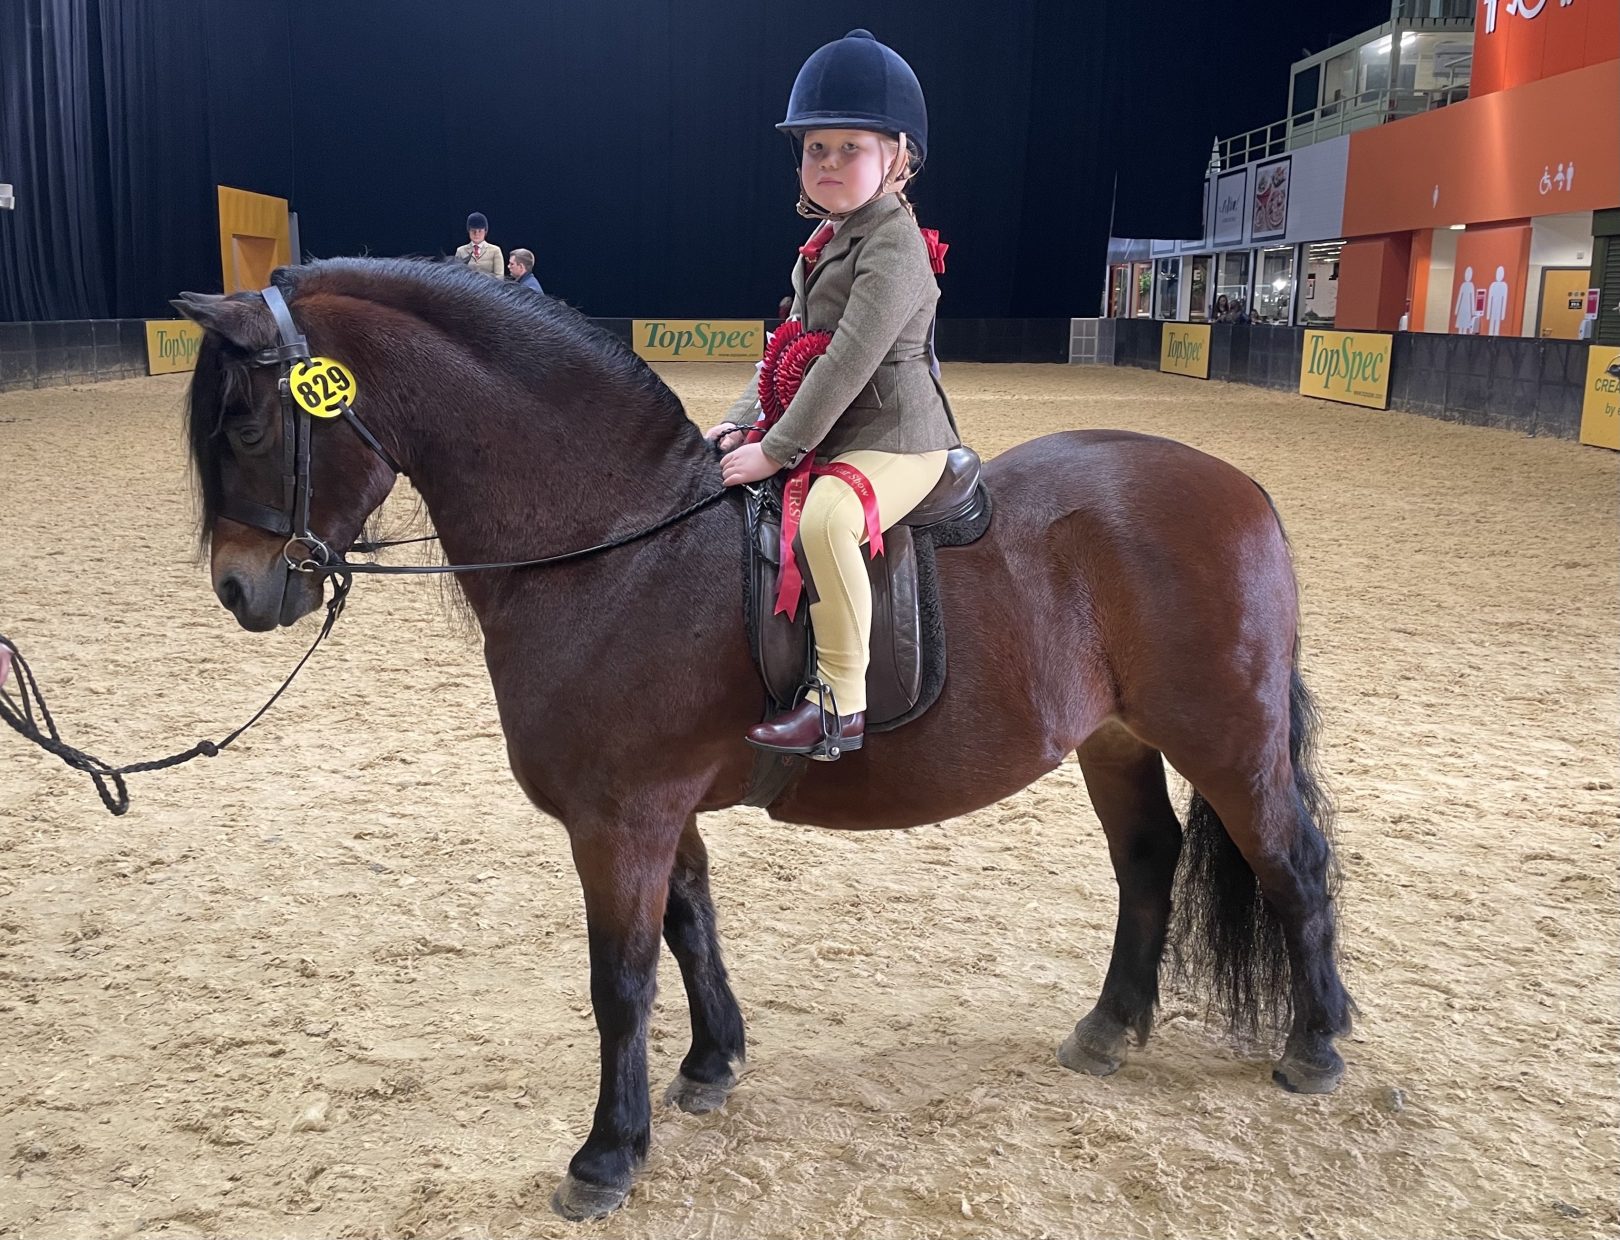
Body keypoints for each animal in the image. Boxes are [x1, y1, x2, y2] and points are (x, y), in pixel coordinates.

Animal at [173, 257, 1353, 1221]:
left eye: (246, 424)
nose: (239, 589)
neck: (617, 543)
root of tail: (1238, 486)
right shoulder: (657, 813)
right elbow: (692, 929)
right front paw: (711, 1066)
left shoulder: (619, 822)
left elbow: (621, 982)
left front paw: (608, 1156)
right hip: (1114, 738)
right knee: (1150, 859)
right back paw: (1109, 1029)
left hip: (1227, 739)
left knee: (1292, 863)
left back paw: (1315, 1045)